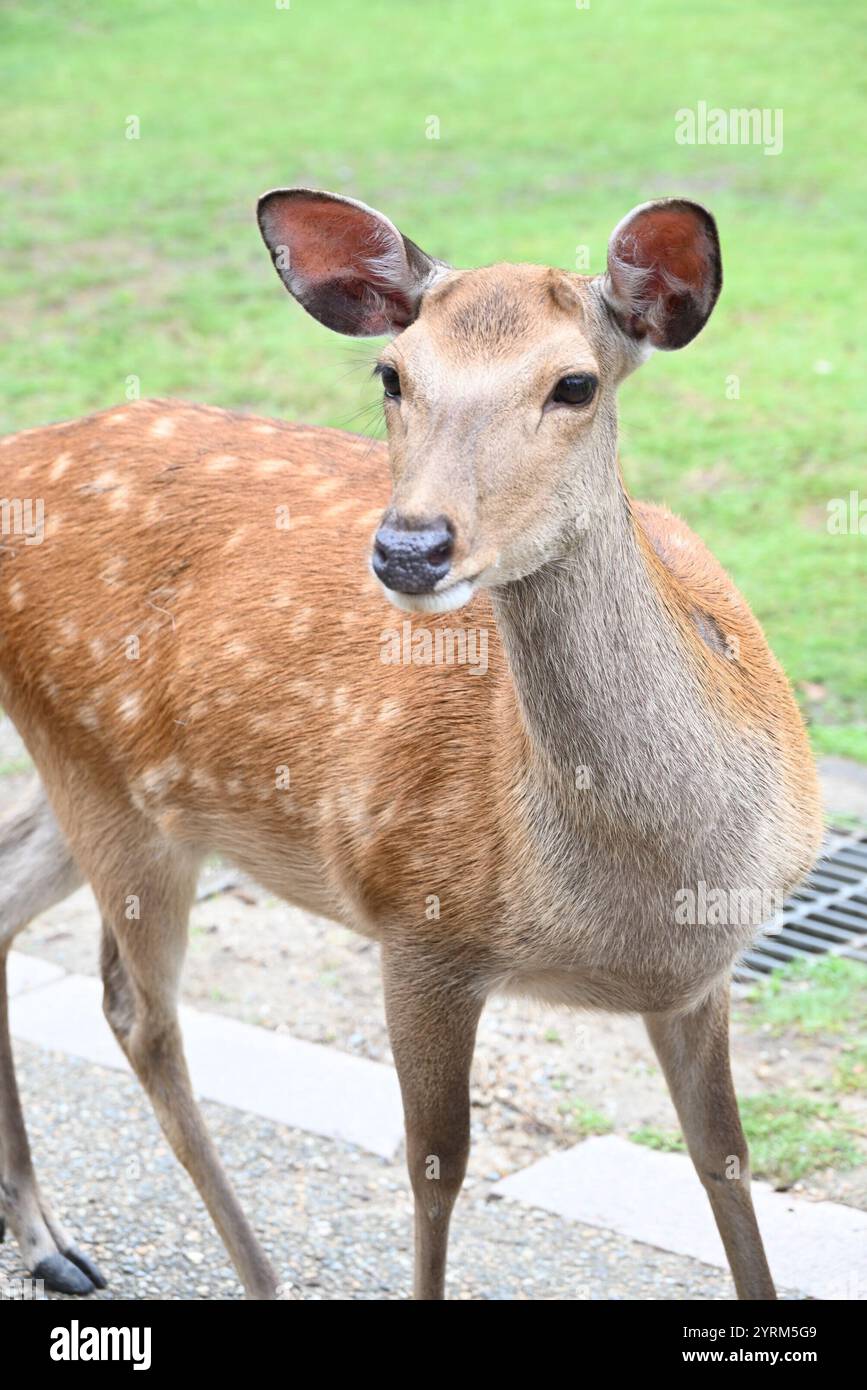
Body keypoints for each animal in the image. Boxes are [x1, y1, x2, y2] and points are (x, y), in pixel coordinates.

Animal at [0, 190, 821, 1301]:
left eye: (574, 383)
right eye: (391, 373)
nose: (410, 547)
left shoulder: (700, 977)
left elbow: (725, 1162)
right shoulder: (417, 921)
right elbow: (436, 1167)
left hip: (97, 772)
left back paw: (48, 1238)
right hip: (105, 787)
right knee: (140, 1014)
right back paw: (246, 1273)